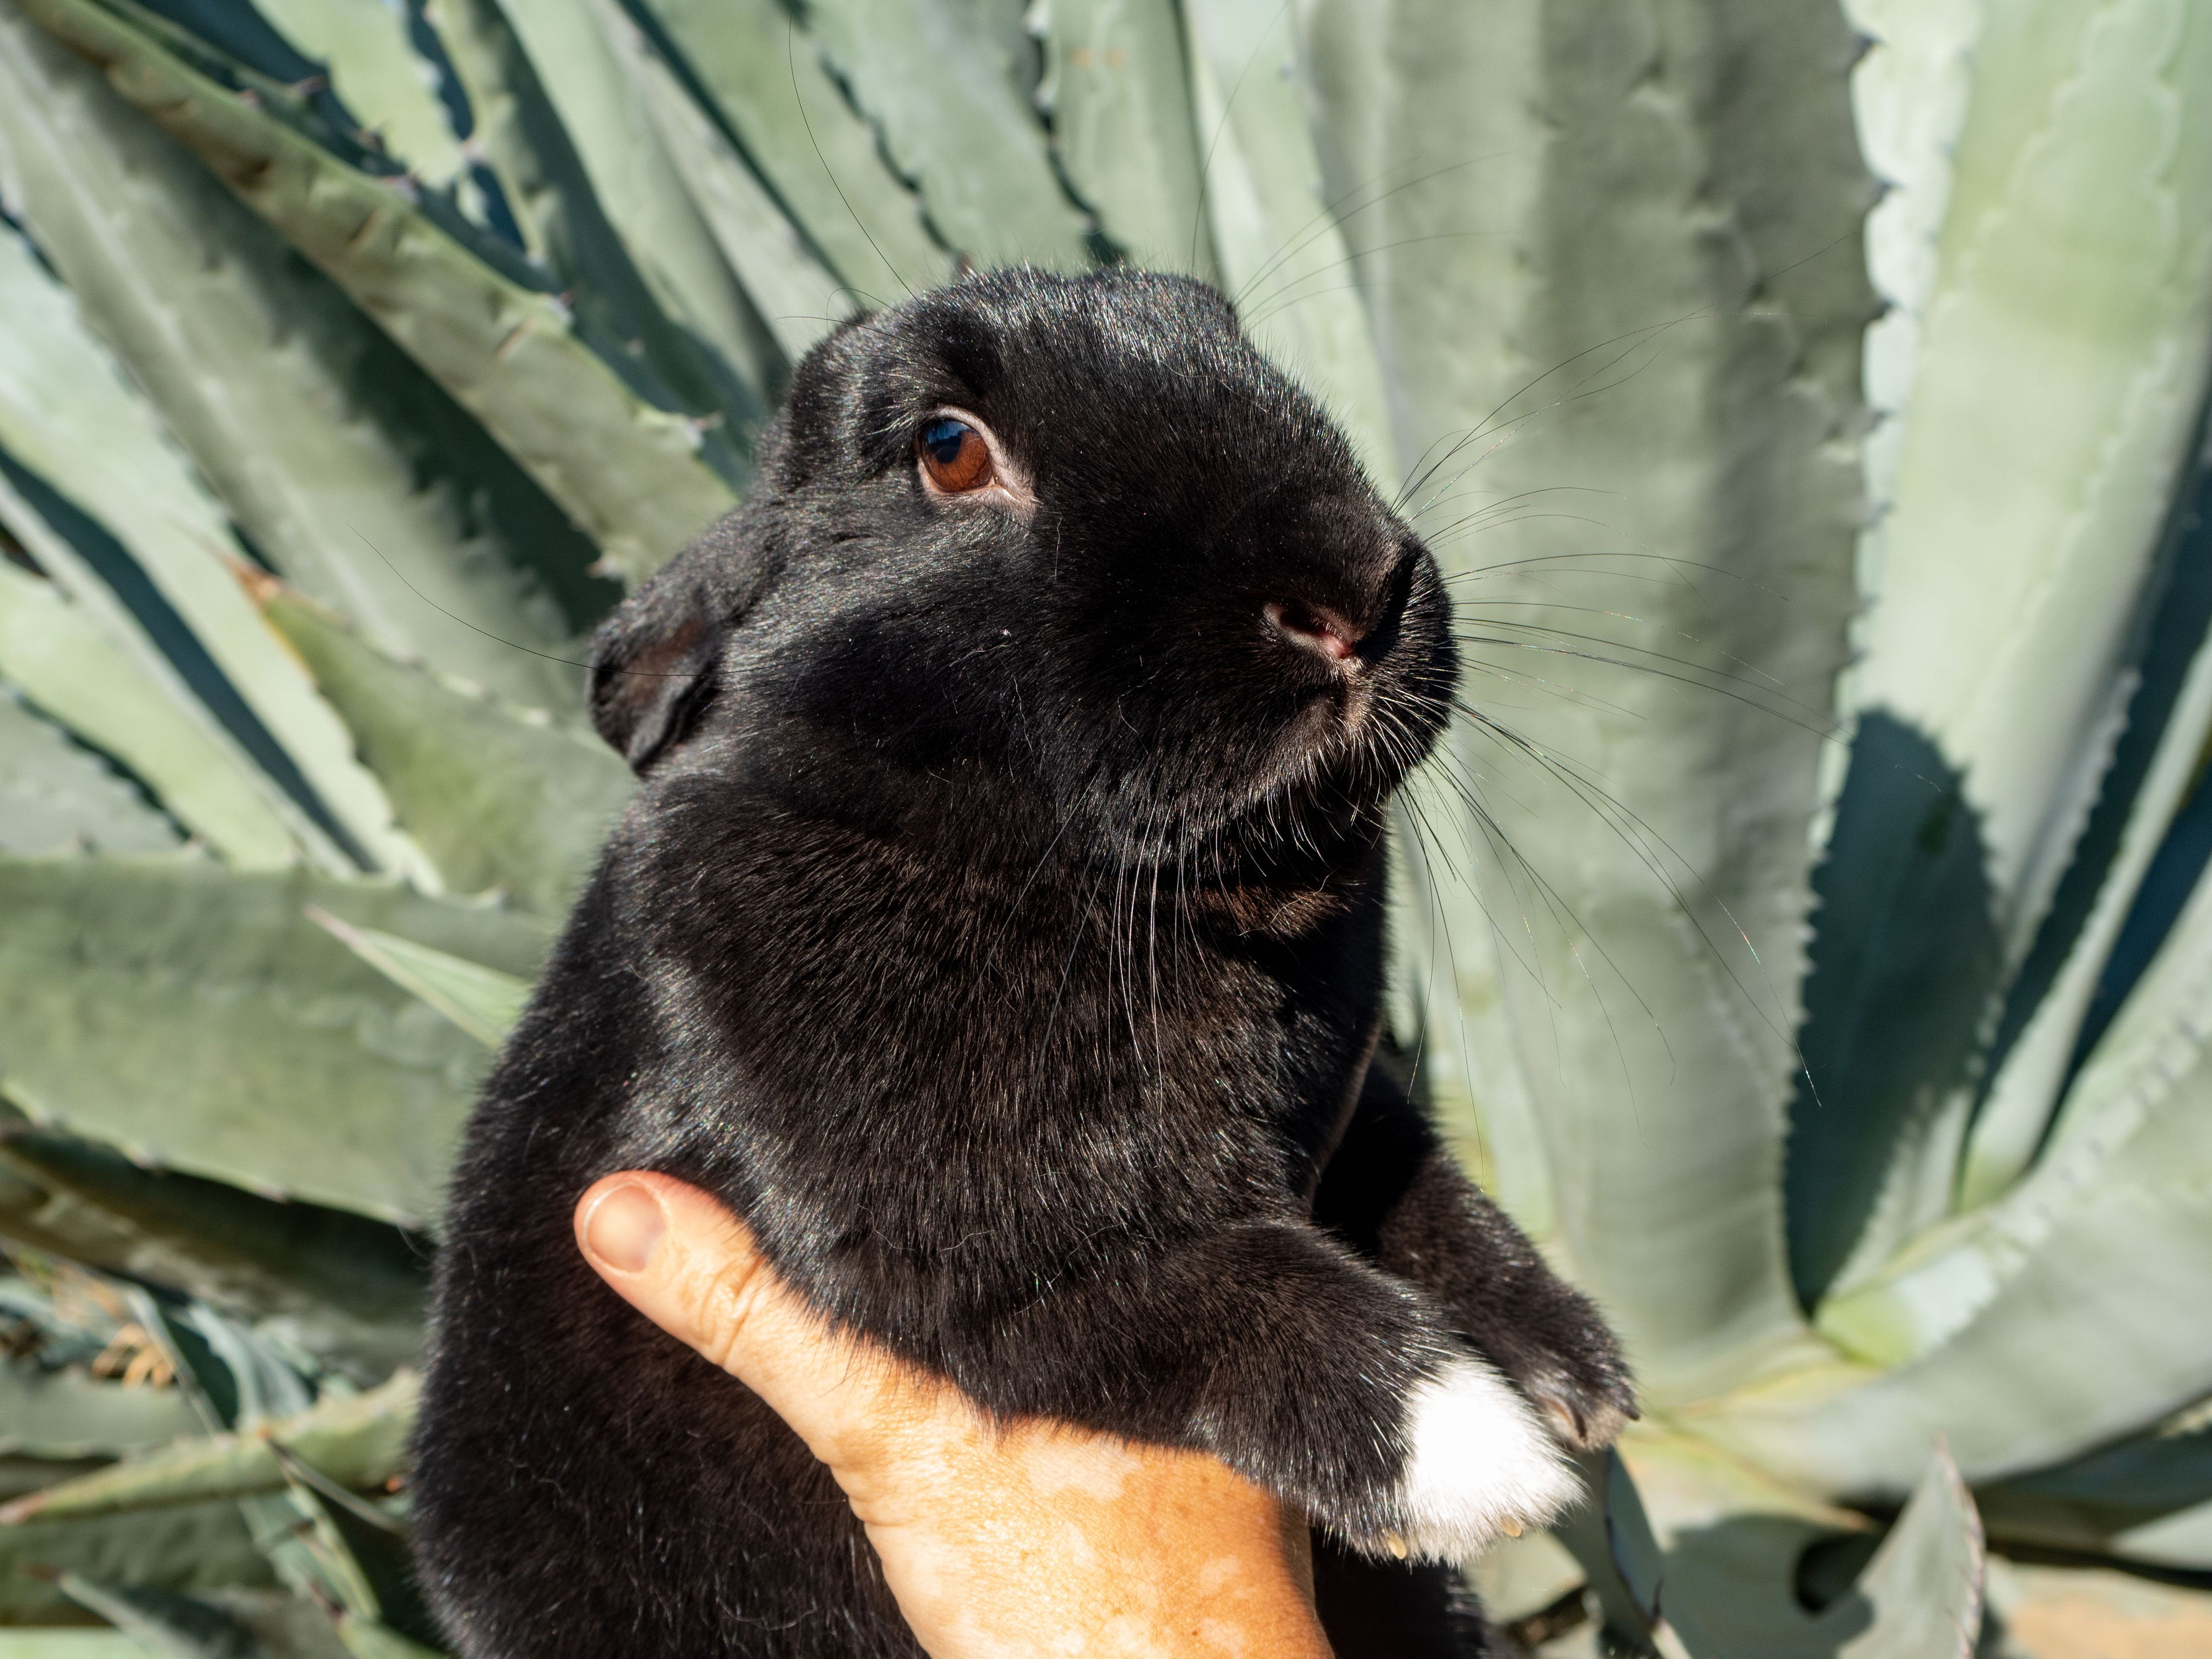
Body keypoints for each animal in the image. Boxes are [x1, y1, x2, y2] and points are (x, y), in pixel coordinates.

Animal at [411, 267, 1635, 1658]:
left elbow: (1418, 1182)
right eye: (947, 448)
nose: (1359, 595)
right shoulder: (991, 1255)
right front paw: (1479, 1456)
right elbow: (1238, 1288)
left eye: (1219, 326)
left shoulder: (1351, 1104)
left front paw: (1575, 1368)